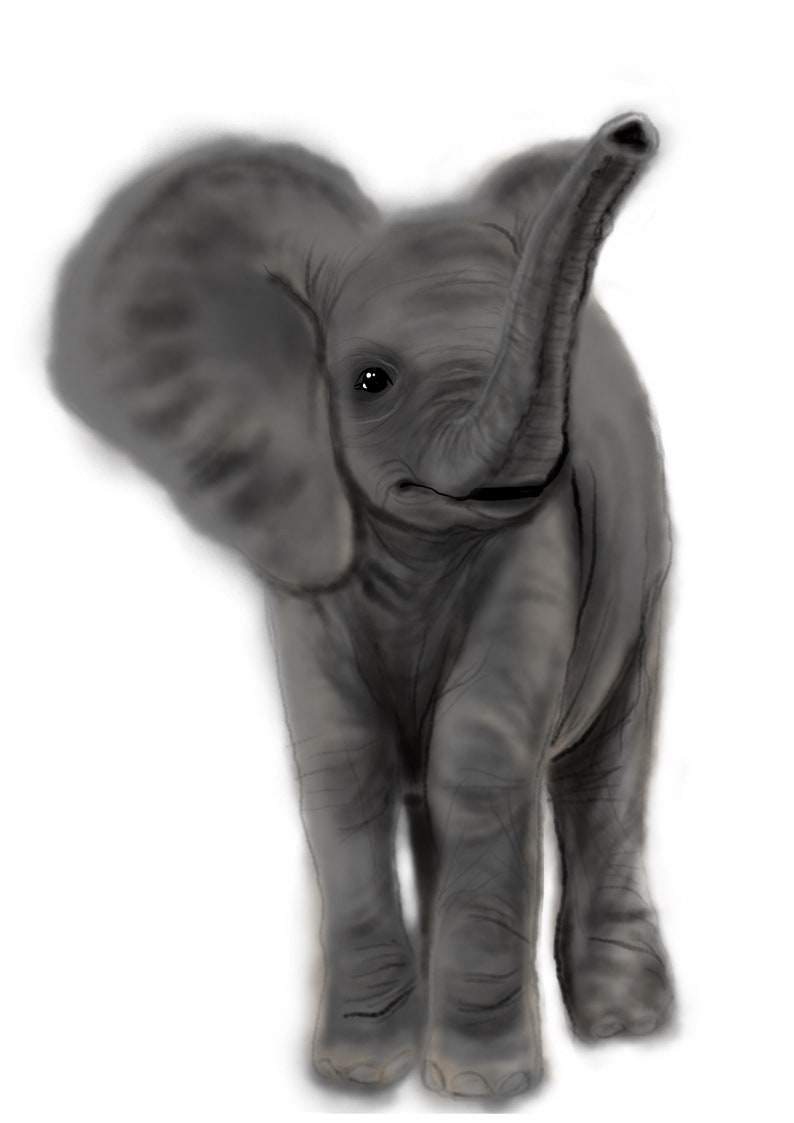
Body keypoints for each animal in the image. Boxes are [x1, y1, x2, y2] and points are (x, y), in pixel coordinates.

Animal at [49, 111, 674, 1099]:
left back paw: (623, 1026)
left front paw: (480, 1087)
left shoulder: (539, 538)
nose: (632, 131)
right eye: (370, 380)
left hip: (644, 547)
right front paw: (359, 1073)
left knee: (604, 765)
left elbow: (480, 755)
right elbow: (343, 764)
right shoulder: (309, 540)